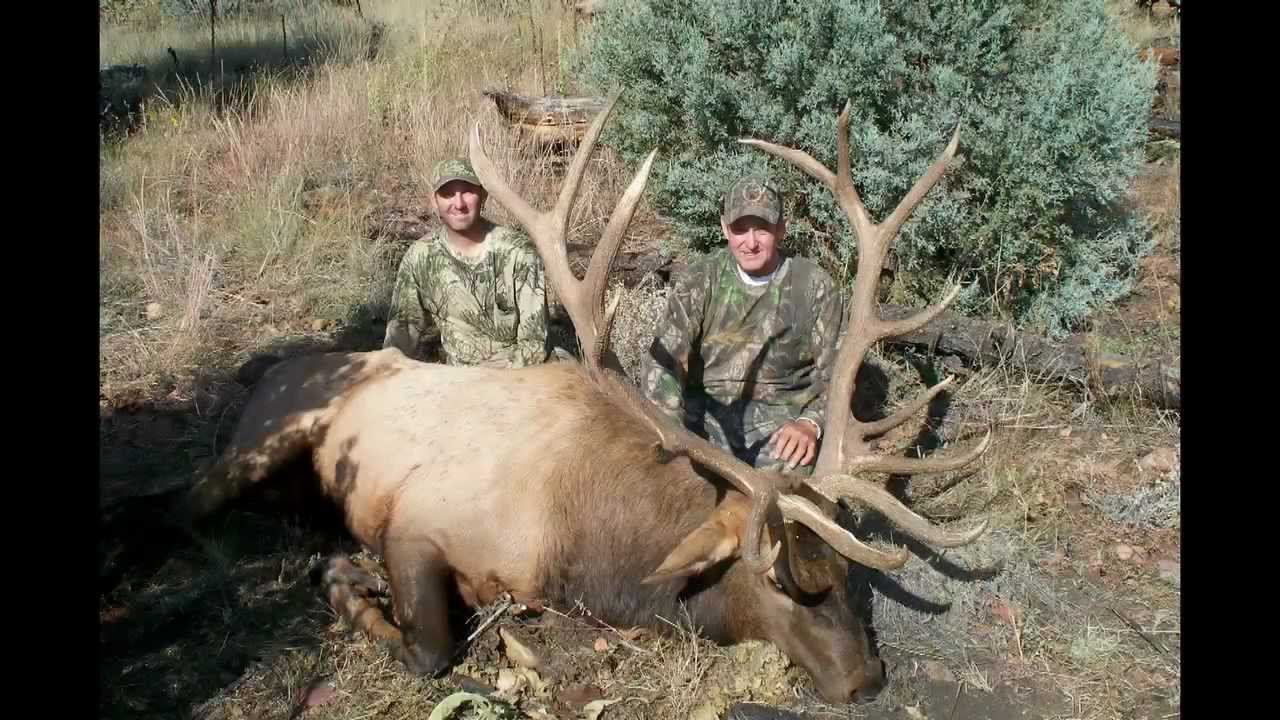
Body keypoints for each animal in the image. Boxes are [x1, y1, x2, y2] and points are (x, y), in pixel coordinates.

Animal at [173, 90, 990, 705]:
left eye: (847, 576)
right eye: (782, 583)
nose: (865, 681)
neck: (587, 554)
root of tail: (273, 370)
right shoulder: (413, 522)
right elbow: (430, 650)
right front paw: (343, 577)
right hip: (267, 438)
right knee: (185, 501)